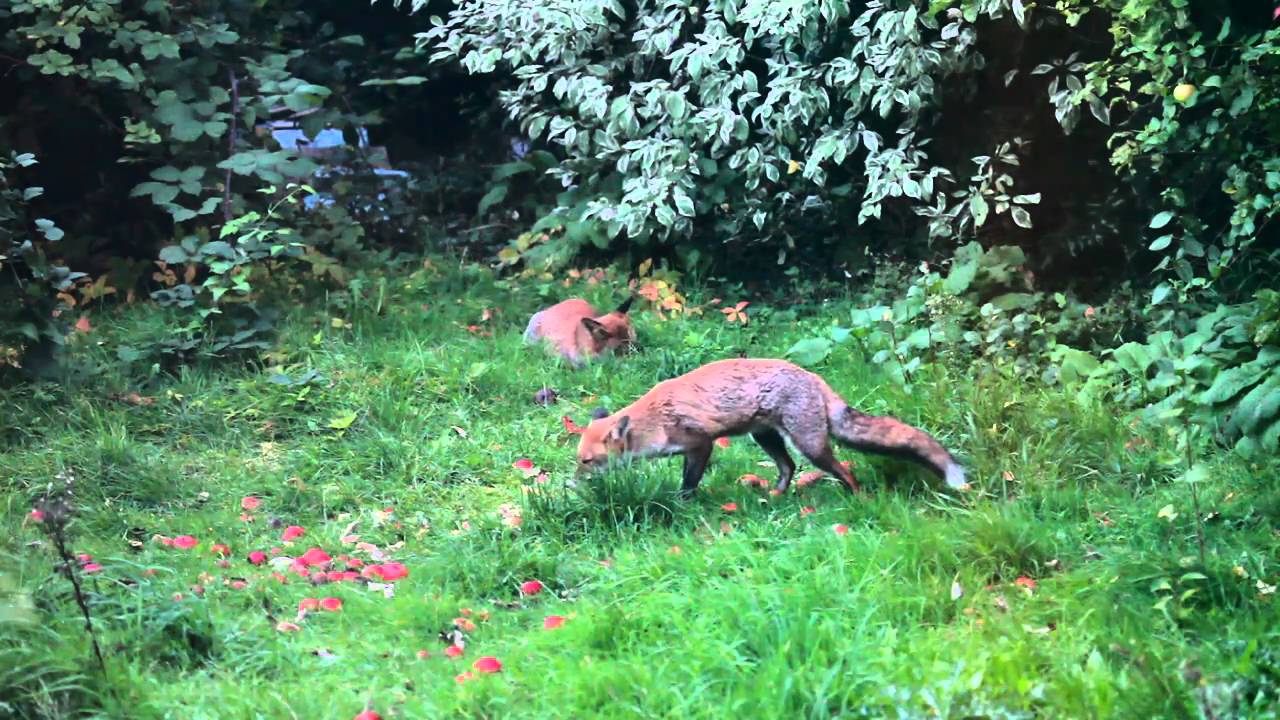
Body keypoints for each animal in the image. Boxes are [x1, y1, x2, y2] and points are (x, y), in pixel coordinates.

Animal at [573, 358, 967, 497]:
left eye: (586, 462)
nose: (571, 484)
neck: (654, 420)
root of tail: (812, 375)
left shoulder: (700, 444)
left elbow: (688, 483)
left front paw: (684, 504)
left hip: (810, 445)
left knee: (842, 471)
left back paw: (858, 498)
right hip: (765, 437)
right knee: (788, 468)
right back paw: (775, 495)